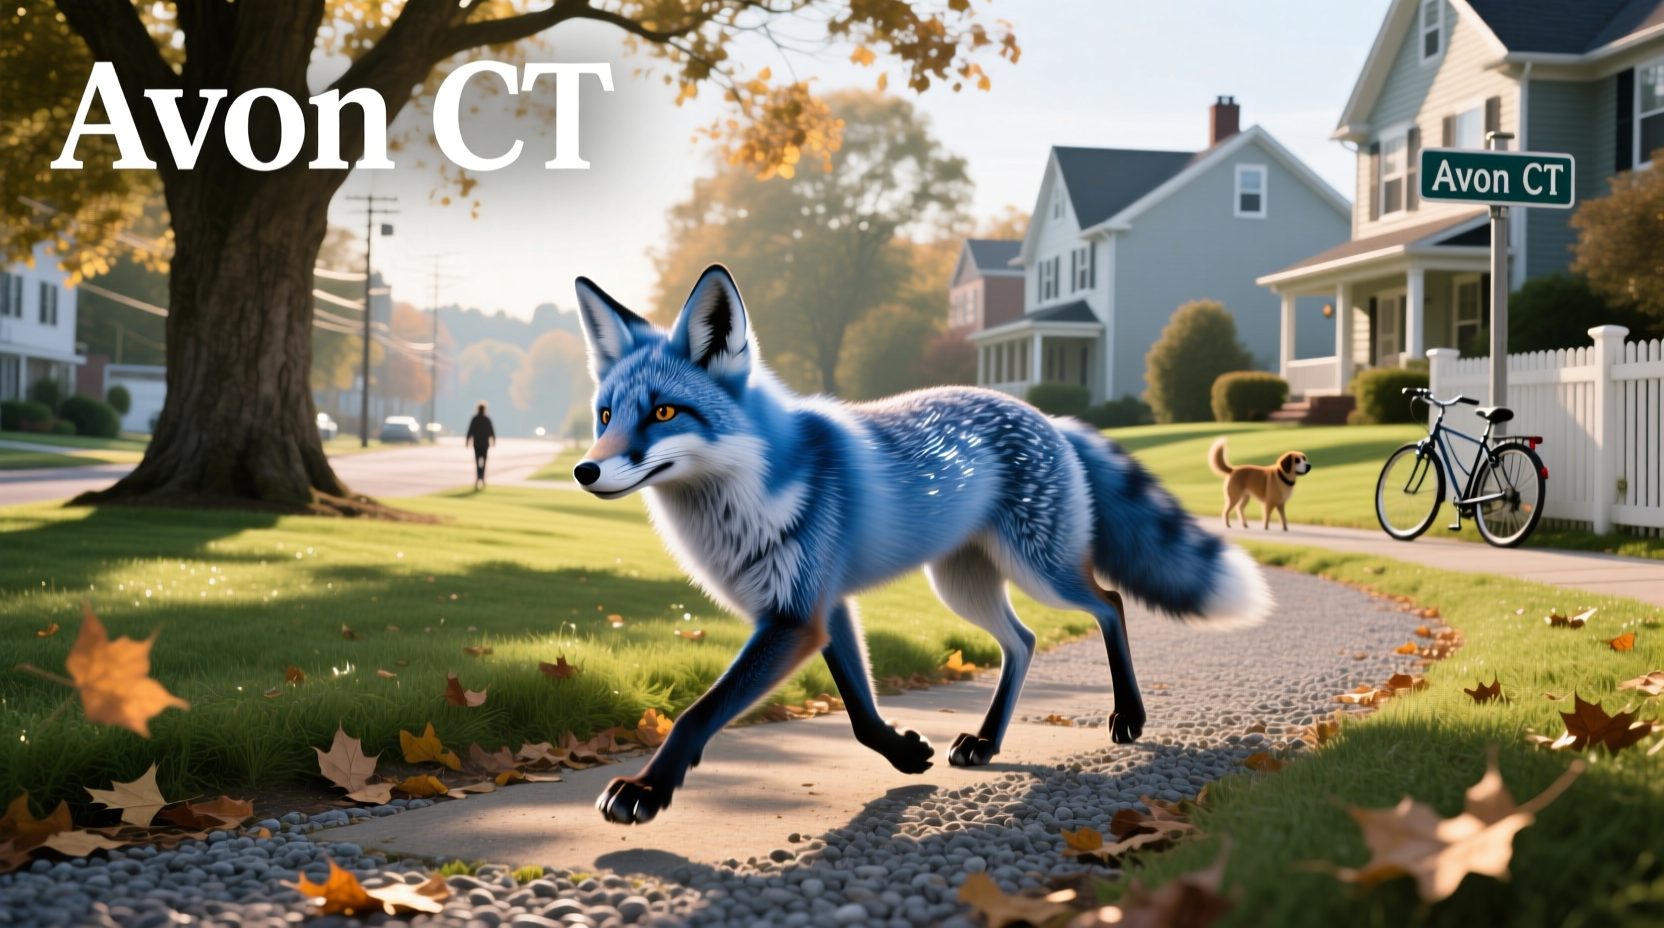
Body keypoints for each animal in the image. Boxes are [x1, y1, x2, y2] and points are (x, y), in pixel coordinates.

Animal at [572, 265, 1272, 825]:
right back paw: (986, 743)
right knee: (1024, 640)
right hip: (963, 586)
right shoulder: (825, 610)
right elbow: (859, 712)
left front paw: (646, 790)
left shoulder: (795, 617)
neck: (745, 498)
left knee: (1110, 604)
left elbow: (698, 714)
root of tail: (1050, 419)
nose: (584, 470)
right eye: (605, 416)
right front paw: (907, 755)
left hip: (1040, 571)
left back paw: (1128, 717)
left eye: (664, 413)